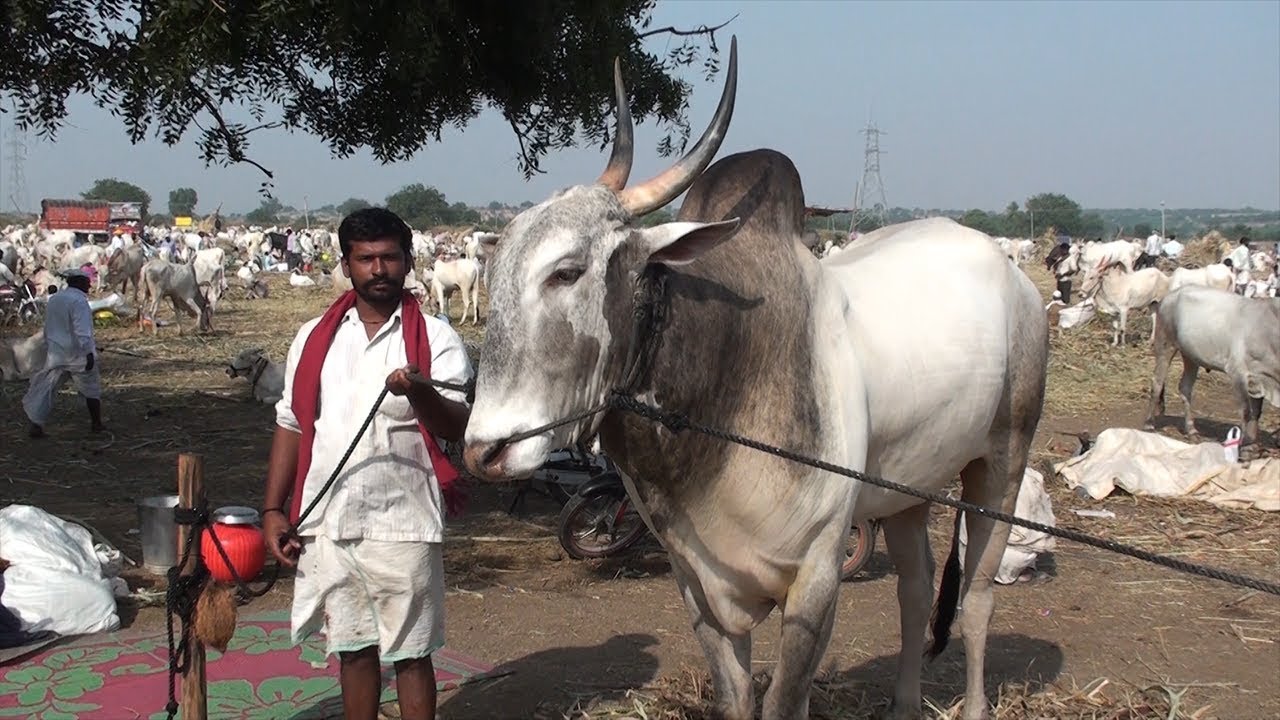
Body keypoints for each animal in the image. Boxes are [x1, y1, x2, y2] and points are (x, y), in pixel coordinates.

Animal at [459, 40, 1049, 720]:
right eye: (495, 267)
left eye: (567, 271)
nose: (484, 450)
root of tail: (1015, 278)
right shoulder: (697, 585)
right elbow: (737, 698)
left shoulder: (815, 581)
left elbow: (784, 700)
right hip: (910, 487)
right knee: (917, 589)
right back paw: (904, 703)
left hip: (1002, 463)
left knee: (976, 599)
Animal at [1145, 285, 1280, 459]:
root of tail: (1169, 296)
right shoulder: (1238, 373)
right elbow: (1246, 412)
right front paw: (1244, 447)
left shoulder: (1258, 379)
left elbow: (1256, 413)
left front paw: (1252, 446)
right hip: (1165, 345)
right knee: (1157, 382)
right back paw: (1149, 424)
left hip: (1191, 356)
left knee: (1185, 388)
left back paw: (1192, 430)